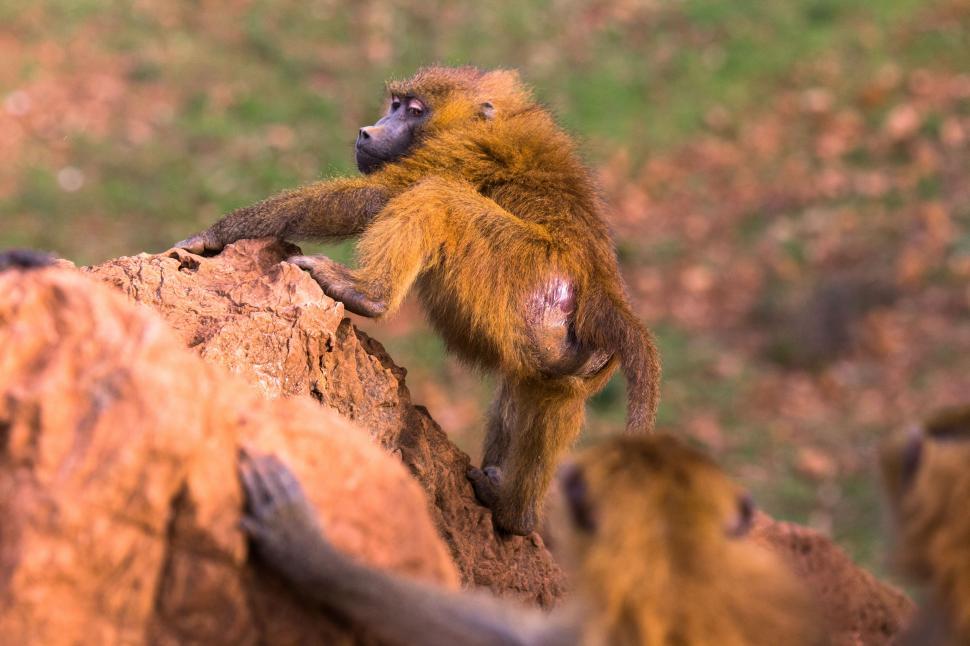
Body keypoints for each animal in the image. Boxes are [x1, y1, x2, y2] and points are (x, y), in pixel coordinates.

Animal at [176, 66, 661, 535]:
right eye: (394, 104)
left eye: (413, 110)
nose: (368, 131)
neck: (487, 114)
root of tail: (602, 287)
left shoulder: (467, 146)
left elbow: (377, 196)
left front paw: (215, 234)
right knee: (541, 391)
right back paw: (516, 518)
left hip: (523, 269)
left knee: (436, 194)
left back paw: (367, 294)